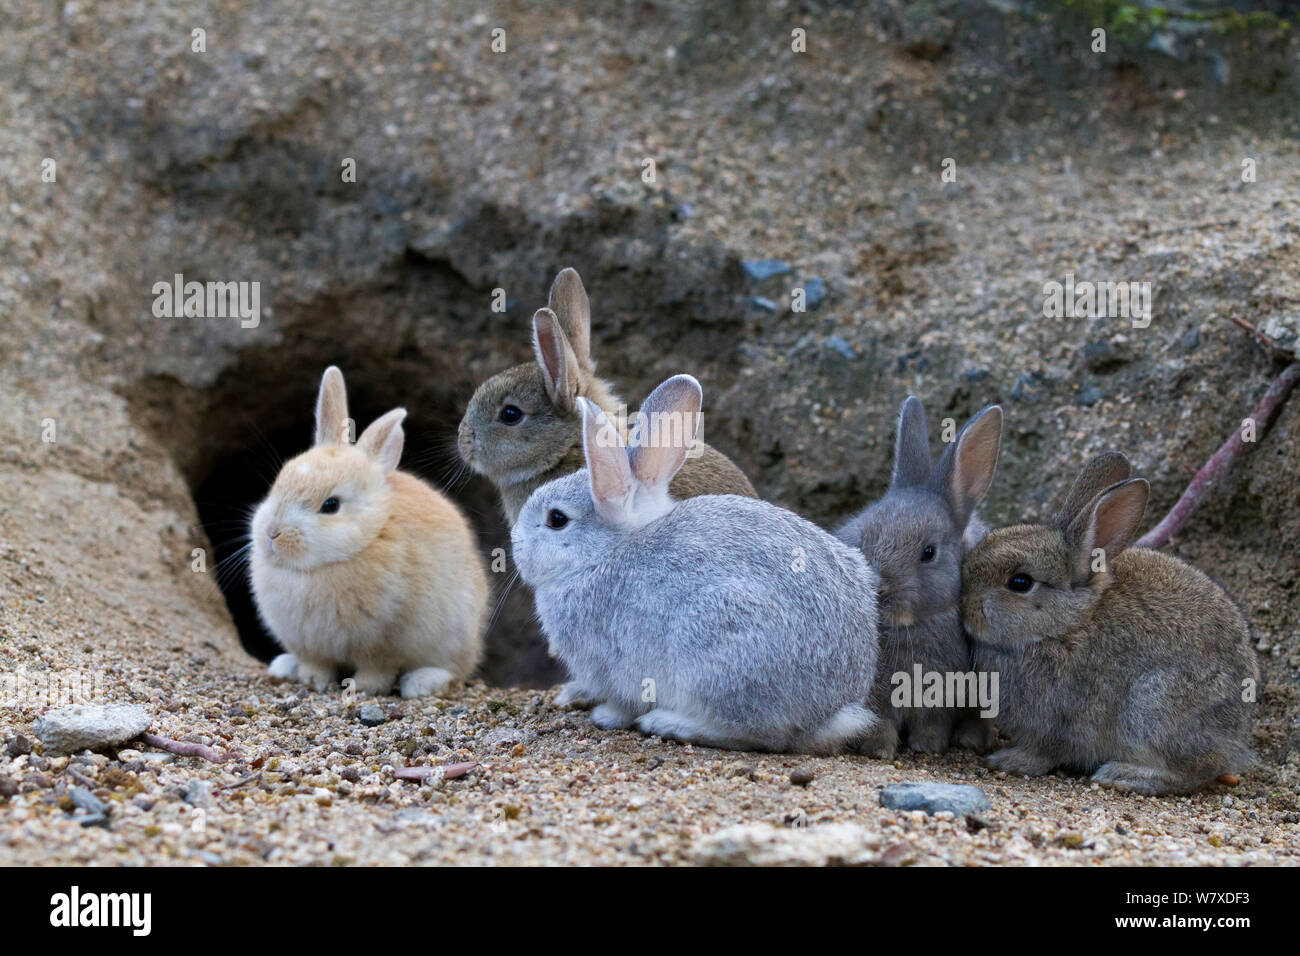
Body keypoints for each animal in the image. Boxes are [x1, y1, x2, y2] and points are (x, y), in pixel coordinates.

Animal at [249, 366, 488, 698]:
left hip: (455, 636)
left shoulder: (383, 644)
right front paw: (311, 679)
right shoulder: (309, 645)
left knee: (456, 670)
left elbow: (377, 669)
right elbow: (316, 663)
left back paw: (421, 683)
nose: (272, 533)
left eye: (331, 505)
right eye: (279, 481)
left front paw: (363, 688)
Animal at [510, 373, 882, 754]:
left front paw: (605, 716)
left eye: (557, 519)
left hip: (717, 647)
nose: (514, 541)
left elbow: (623, 703)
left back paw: (668, 723)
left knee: (762, 734)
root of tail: (827, 713)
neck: (604, 552)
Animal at [836, 397, 1002, 758]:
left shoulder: (940, 698)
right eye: (865, 536)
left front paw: (928, 747)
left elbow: (931, 723)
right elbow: (880, 722)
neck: (908, 628)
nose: (877, 588)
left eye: (928, 552)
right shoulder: (878, 699)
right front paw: (880, 751)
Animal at [961, 452, 1260, 795]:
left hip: (1152, 707)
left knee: (1190, 773)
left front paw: (1008, 761)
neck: (1064, 625)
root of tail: (1236, 734)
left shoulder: (1057, 720)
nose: (964, 605)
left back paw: (1122, 774)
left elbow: (1044, 752)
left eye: (1020, 582)